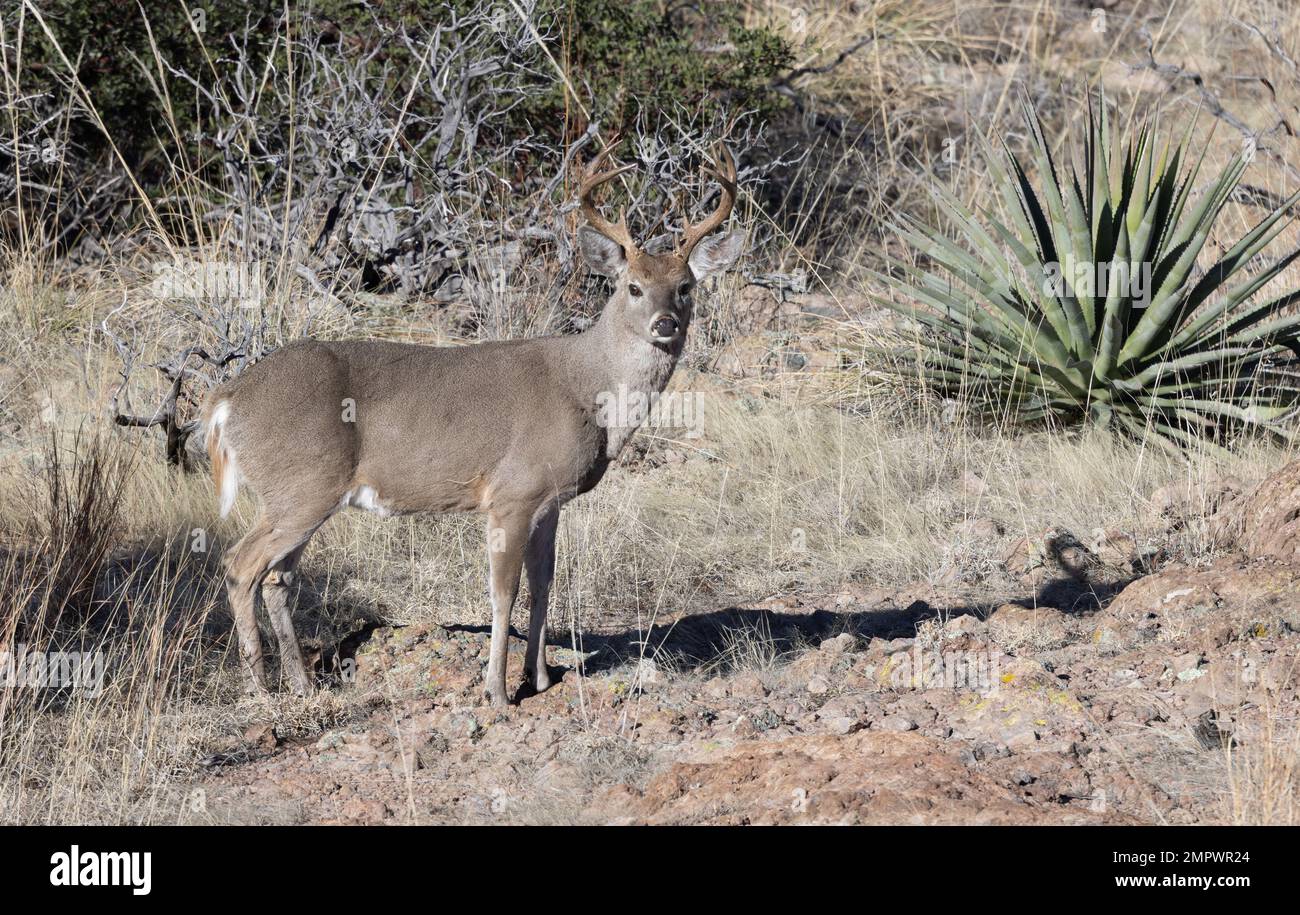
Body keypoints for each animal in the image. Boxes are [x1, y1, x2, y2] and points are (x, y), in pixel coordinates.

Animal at [200, 139, 743, 706]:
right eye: (633, 287)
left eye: (685, 286)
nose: (666, 324)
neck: (587, 388)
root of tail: (226, 399)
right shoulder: (511, 493)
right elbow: (503, 592)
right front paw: (497, 692)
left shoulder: (550, 501)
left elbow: (544, 584)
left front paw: (540, 677)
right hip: (301, 485)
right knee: (241, 566)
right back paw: (262, 687)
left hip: (303, 494)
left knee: (277, 579)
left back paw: (303, 684)